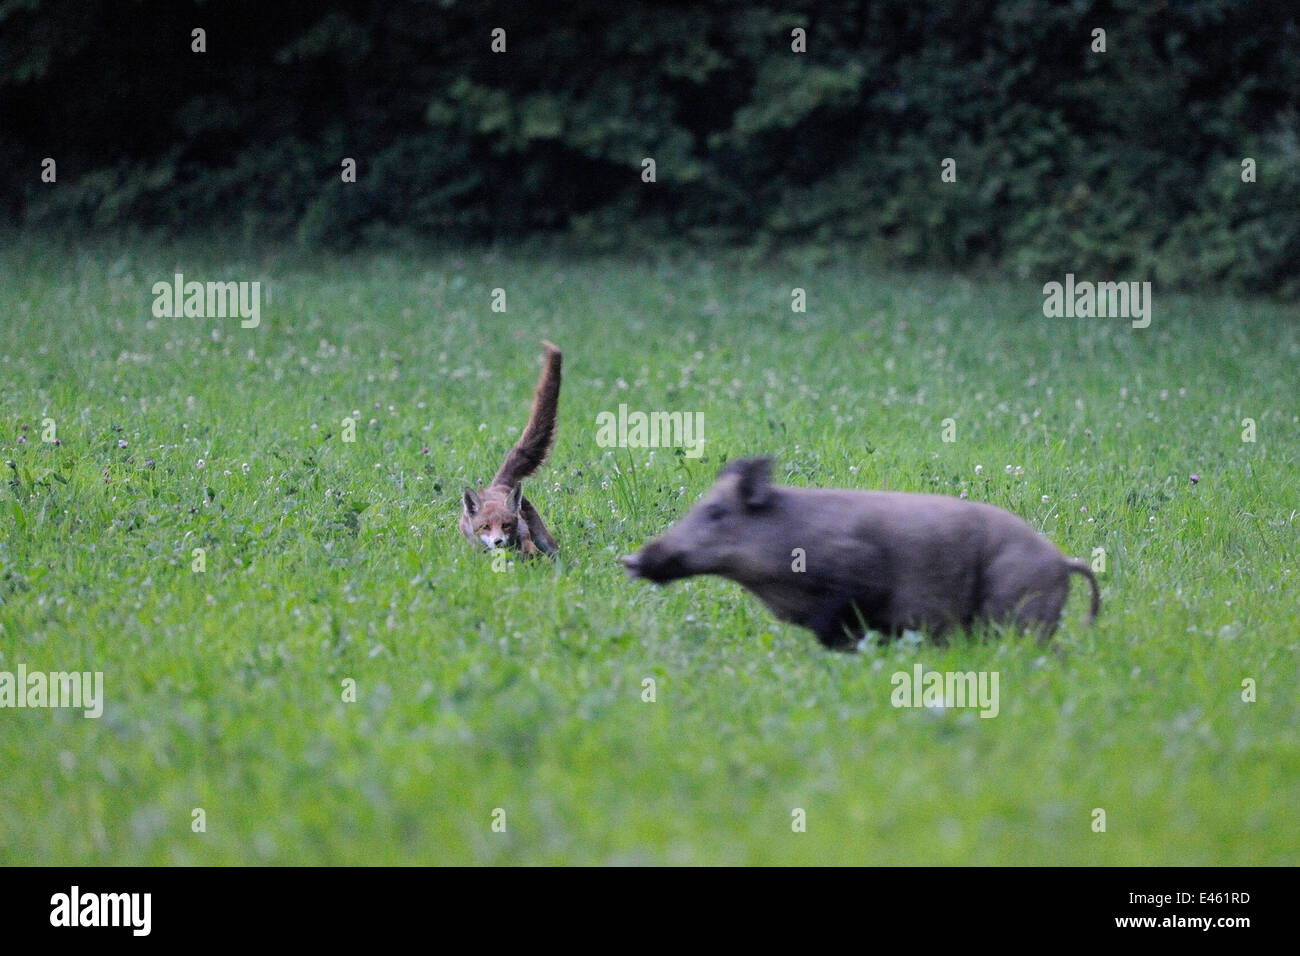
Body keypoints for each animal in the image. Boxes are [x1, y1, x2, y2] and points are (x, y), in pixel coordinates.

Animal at [459, 341, 562, 557]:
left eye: (506, 525)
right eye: (485, 526)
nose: (498, 541)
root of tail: (498, 485)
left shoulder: (522, 529)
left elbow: (527, 543)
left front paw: (529, 553)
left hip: (546, 540)